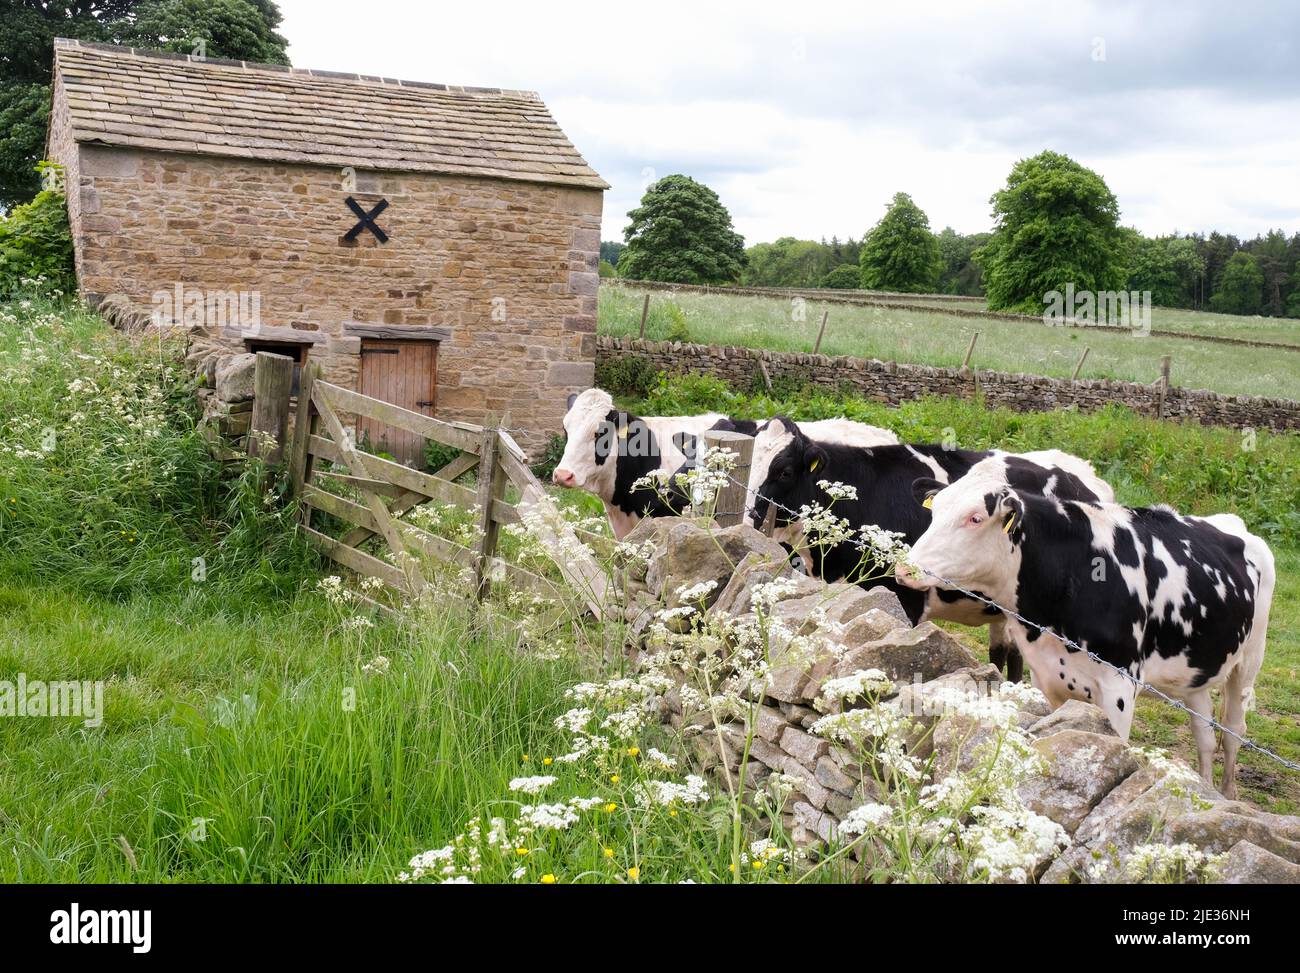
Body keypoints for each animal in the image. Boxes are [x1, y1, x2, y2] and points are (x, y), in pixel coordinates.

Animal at [896, 456, 1275, 798]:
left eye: (975, 518)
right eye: (935, 510)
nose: (903, 568)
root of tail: (1232, 523)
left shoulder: (1120, 687)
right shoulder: (1046, 676)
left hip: (1249, 661)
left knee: (1232, 731)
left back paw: (1226, 794)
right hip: (1196, 668)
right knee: (1204, 733)